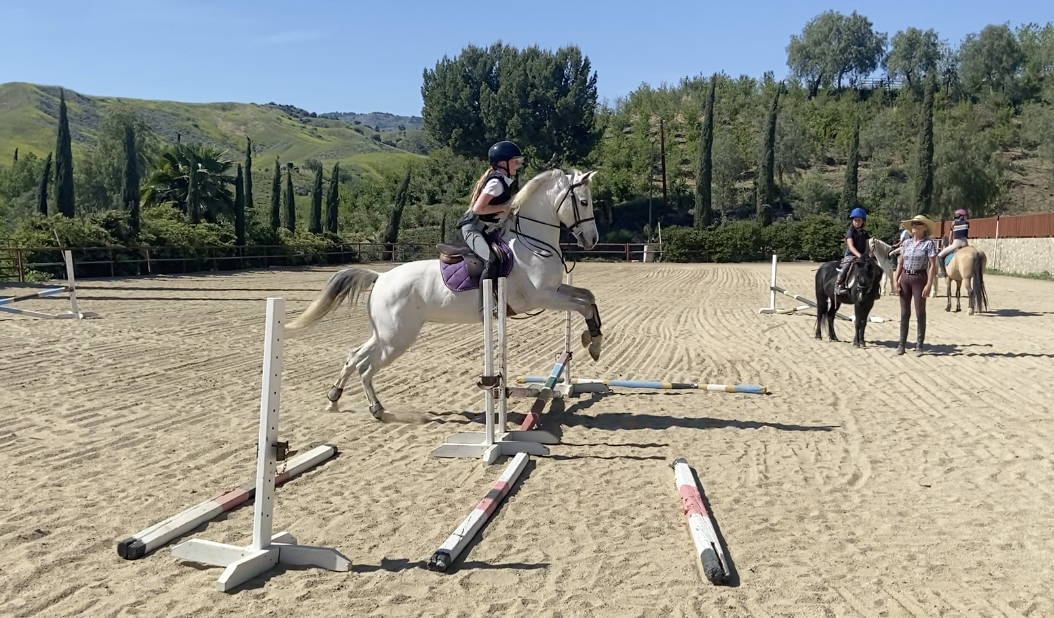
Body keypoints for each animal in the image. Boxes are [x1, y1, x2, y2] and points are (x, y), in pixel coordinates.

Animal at [285, 169, 604, 419]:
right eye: (584, 202)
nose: (592, 239)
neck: (532, 244)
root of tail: (381, 277)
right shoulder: (543, 297)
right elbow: (582, 305)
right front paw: (594, 344)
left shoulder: (556, 290)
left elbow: (588, 297)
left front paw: (593, 340)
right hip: (397, 338)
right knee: (365, 367)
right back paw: (377, 409)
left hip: (386, 334)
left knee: (354, 356)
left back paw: (334, 398)